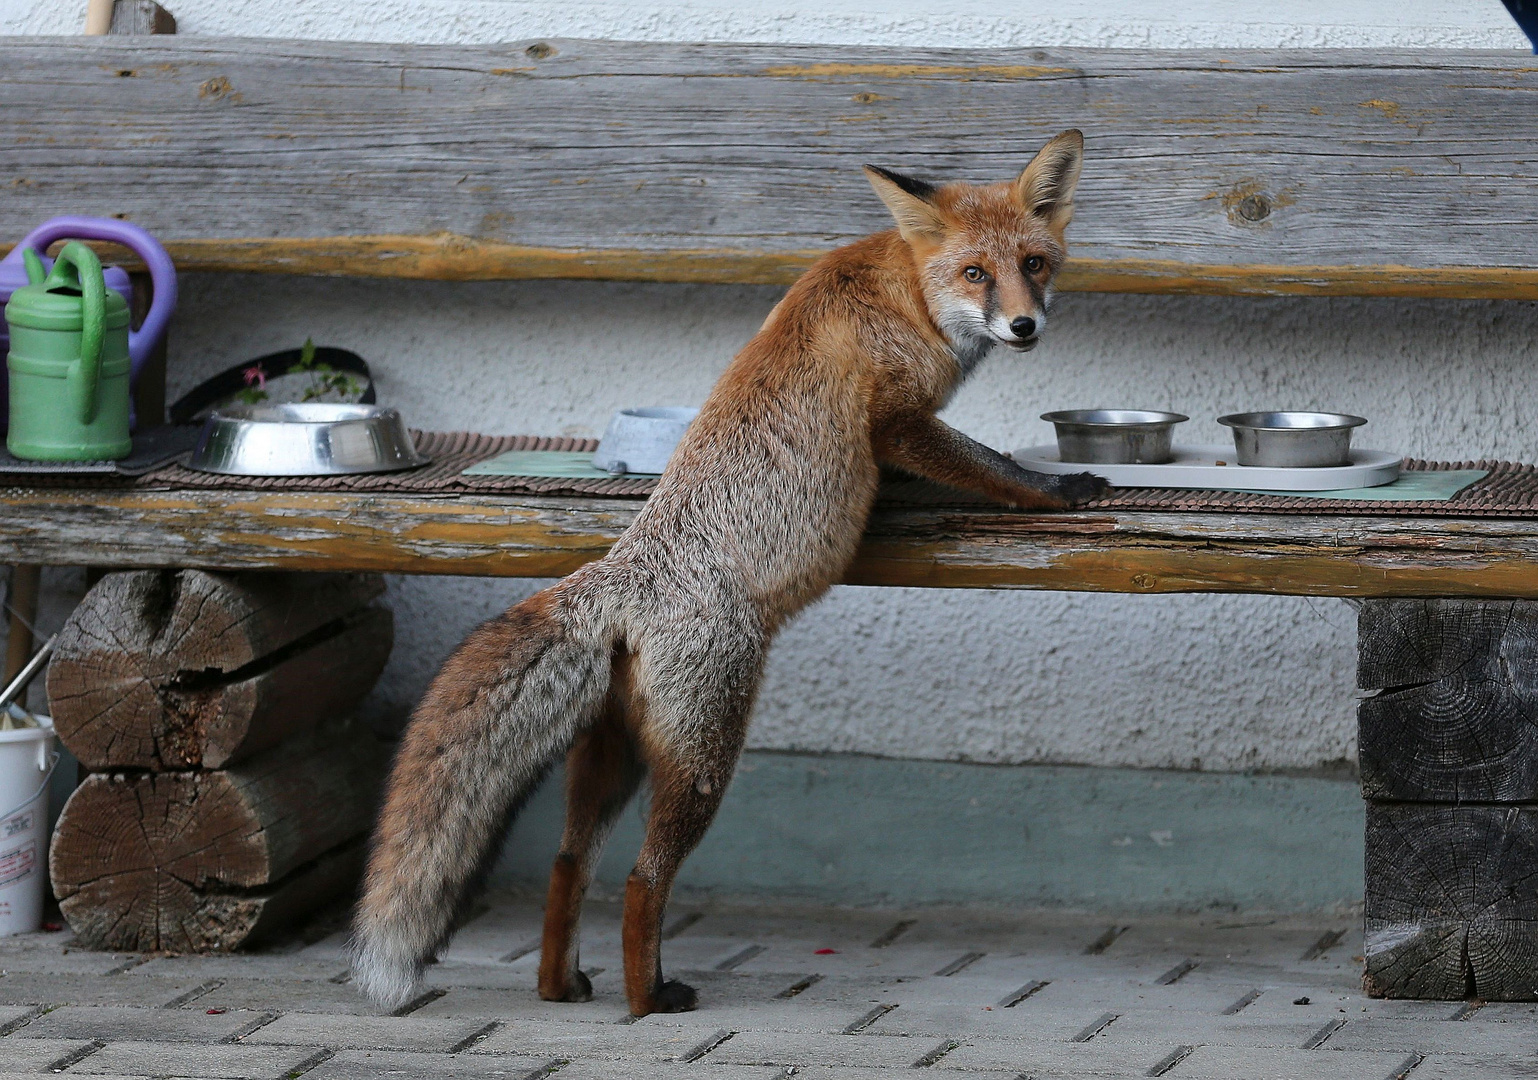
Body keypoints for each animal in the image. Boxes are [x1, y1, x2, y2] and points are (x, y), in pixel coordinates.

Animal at [351, 129, 1107, 1017]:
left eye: (1036, 263)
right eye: (976, 274)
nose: (1025, 325)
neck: (903, 296)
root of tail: (620, 578)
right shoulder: (897, 420)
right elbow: (995, 468)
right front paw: (1060, 490)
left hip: (612, 761)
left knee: (570, 865)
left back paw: (561, 987)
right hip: (707, 759)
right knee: (642, 881)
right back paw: (650, 1001)